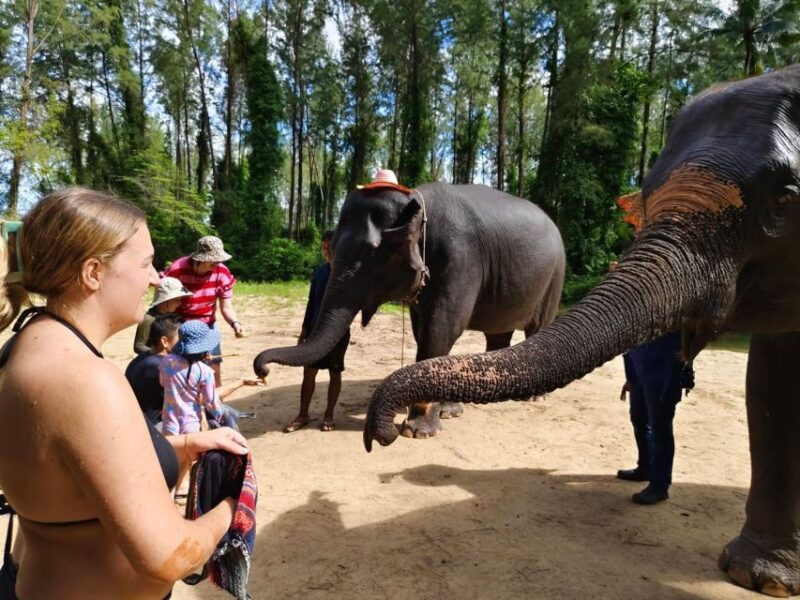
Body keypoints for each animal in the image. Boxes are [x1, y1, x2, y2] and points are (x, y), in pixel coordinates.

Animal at [254, 182, 566, 438]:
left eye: (371, 252)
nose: (262, 371)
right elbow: (422, 330)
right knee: (497, 335)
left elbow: (440, 329)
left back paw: (536, 397)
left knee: (537, 328)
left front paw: (416, 431)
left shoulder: (461, 257)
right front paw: (445, 414)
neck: (415, 199)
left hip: (555, 276)